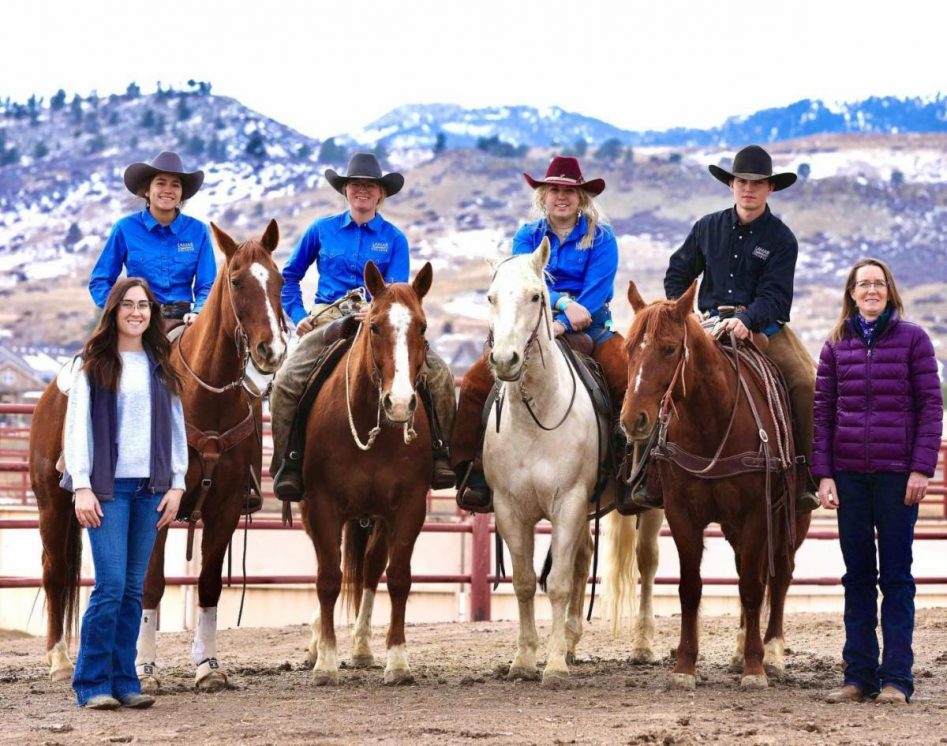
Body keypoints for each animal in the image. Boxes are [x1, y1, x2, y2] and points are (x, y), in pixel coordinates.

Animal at [29, 220, 287, 691]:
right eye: (236, 280)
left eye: (279, 279)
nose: (270, 351)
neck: (203, 398)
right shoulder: (154, 505)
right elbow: (149, 585)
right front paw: (144, 670)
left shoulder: (224, 508)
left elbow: (208, 585)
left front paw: (208, 667)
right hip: (51, 503)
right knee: (55, 570)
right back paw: (58, 660)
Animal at [300, 260, 434, 685]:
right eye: (374, 326)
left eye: (422, 326)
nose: (401, 403)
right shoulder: (322, 506)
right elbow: (328, 578)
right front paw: (326, 661)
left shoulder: (408, 508)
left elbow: (398, 578)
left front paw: (398, 660)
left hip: (376, 516)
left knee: (372, 570)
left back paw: (361, 647)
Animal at [482, 239, 661, 685]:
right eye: (491, 297)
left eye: (536, 296)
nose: (506, 360)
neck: (535, 418)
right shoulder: (509, 509)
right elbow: (526, 582)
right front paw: (525, 660)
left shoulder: (568, 504)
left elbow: (559, 582)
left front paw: (554, 666)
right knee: (583, 559)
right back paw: (572, 641)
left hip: (647, 508)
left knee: (646, 563)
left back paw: (642, 646)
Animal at [620, 280, 811, 690]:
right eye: (628, 348)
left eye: (669, 347)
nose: (633, 420)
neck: (712, 423)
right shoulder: (681, 514)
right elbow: (691, 588)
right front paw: (684, 667)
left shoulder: (756, 512)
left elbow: (753, 586)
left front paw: (755, 669)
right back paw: (741, 648)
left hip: (790, 516)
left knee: (780, 573)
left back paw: (771, 651)